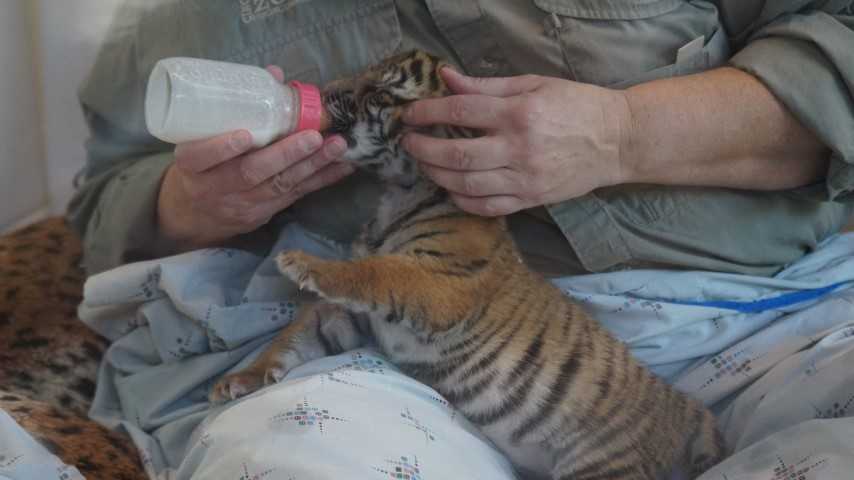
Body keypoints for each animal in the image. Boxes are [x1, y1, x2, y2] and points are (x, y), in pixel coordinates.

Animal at [209, 50, 726, 480]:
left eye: (378, 93)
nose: (325, 88)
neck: (399, 193)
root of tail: (686, 409)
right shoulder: (353, 319)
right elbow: (294, 334)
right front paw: (242, 378)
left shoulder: (441, 285)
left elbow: (378, 270)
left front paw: (300, 262)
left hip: (602, 463)